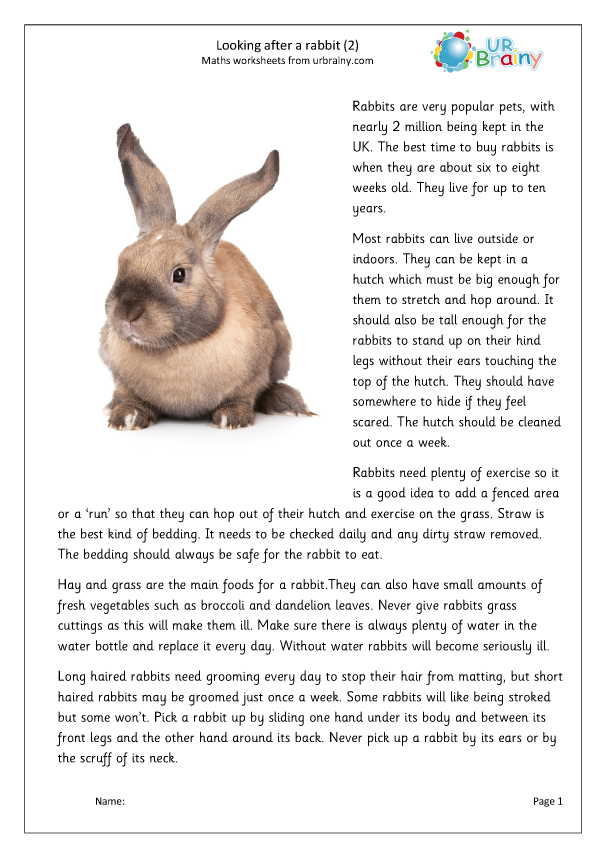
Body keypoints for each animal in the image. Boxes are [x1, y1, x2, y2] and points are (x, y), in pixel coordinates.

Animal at [100, 124, 314, 431]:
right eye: (122, 261)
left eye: (179, 274)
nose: (127, 314)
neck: (176, 349)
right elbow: (127, 393)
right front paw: (127, 416)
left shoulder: (257, 368)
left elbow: (246, 392)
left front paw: (231, 417)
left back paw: (284, 402)